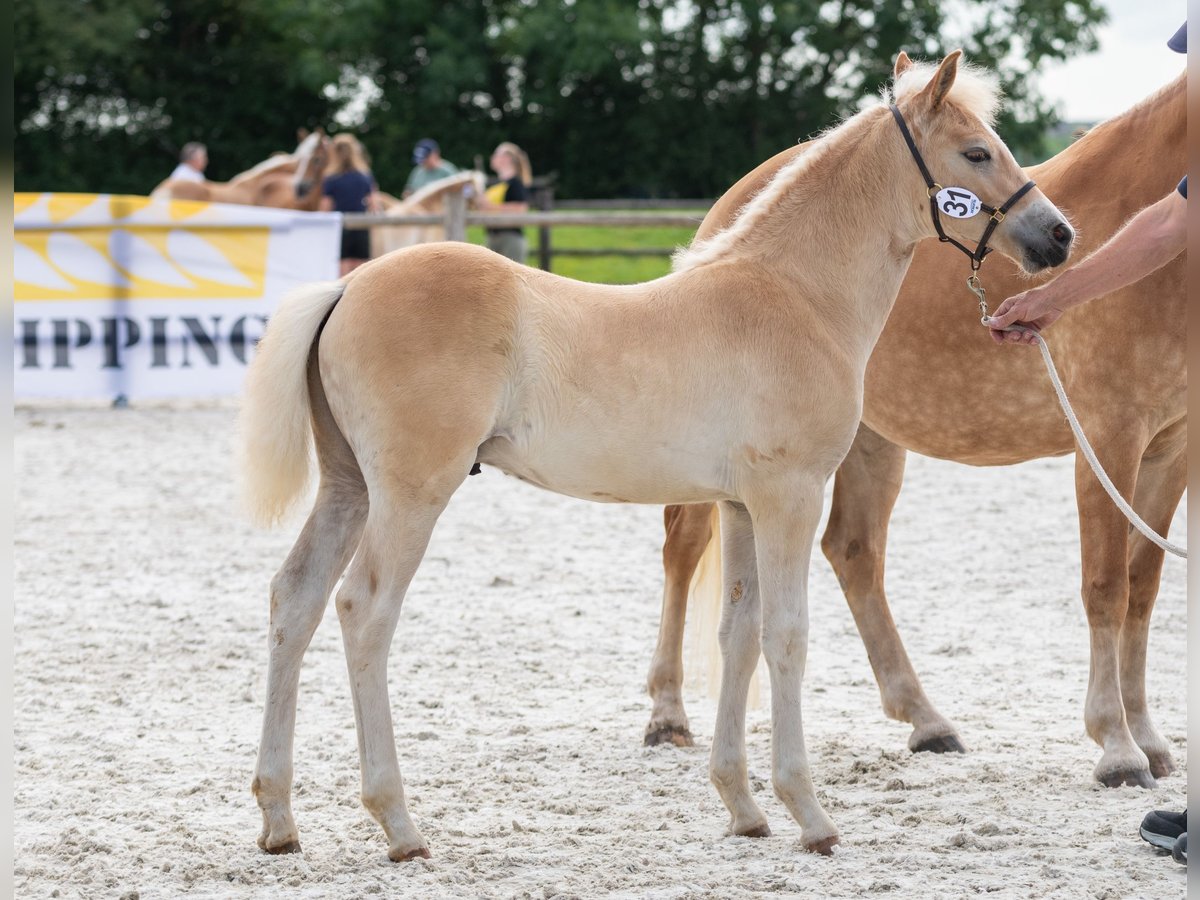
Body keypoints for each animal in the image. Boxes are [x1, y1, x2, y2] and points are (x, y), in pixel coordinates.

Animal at [239, 51, 1072, 860]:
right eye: (976, 151)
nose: (1059, 236)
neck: (795, 296)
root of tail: (345, 291)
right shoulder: (791, 496)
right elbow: (788, 635)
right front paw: (809, 815)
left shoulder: (742, 504)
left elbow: (738, 635)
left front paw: (743, 808)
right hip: (411, 493)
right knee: (363, 609)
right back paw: (399, 825)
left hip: (348, 488)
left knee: (294, 598)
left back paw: (279, 820)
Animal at [645, 73, 1184, 790]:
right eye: (977, 153)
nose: (1062, 237)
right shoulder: (1108, 438)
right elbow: (1107, 587)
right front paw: (1118, 747)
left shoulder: (1174, 450)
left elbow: (1143, 588)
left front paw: (1147, 737)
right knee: (684, 546)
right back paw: (667, 714)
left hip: (871, 441)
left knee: (853, 550)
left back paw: (927, 720)